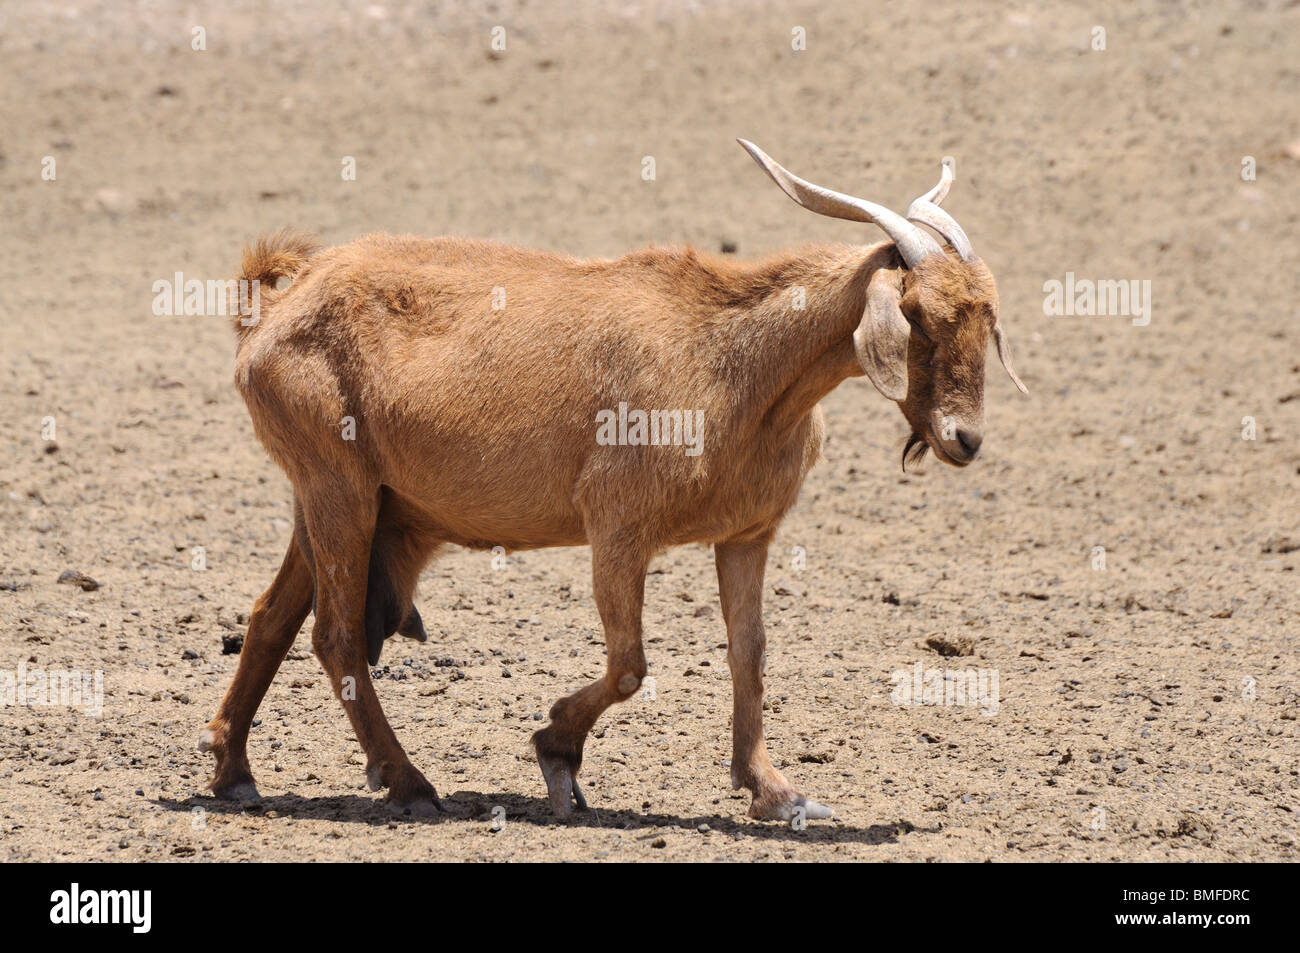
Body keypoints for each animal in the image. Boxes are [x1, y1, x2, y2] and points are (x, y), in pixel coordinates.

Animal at [199, 140, 1027, 820]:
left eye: (986, 315)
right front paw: (556, 753)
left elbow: (749, 654)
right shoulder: (618, 528)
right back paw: (409, 783)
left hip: (339, 498)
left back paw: (235, 773)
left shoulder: (746, 535)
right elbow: (631, 665)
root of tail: (274, 307)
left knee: (271, 617)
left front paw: (777, 792)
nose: (964, 438)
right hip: (336, 488)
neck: (742, 367)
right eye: (916, 314)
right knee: (335, 636)